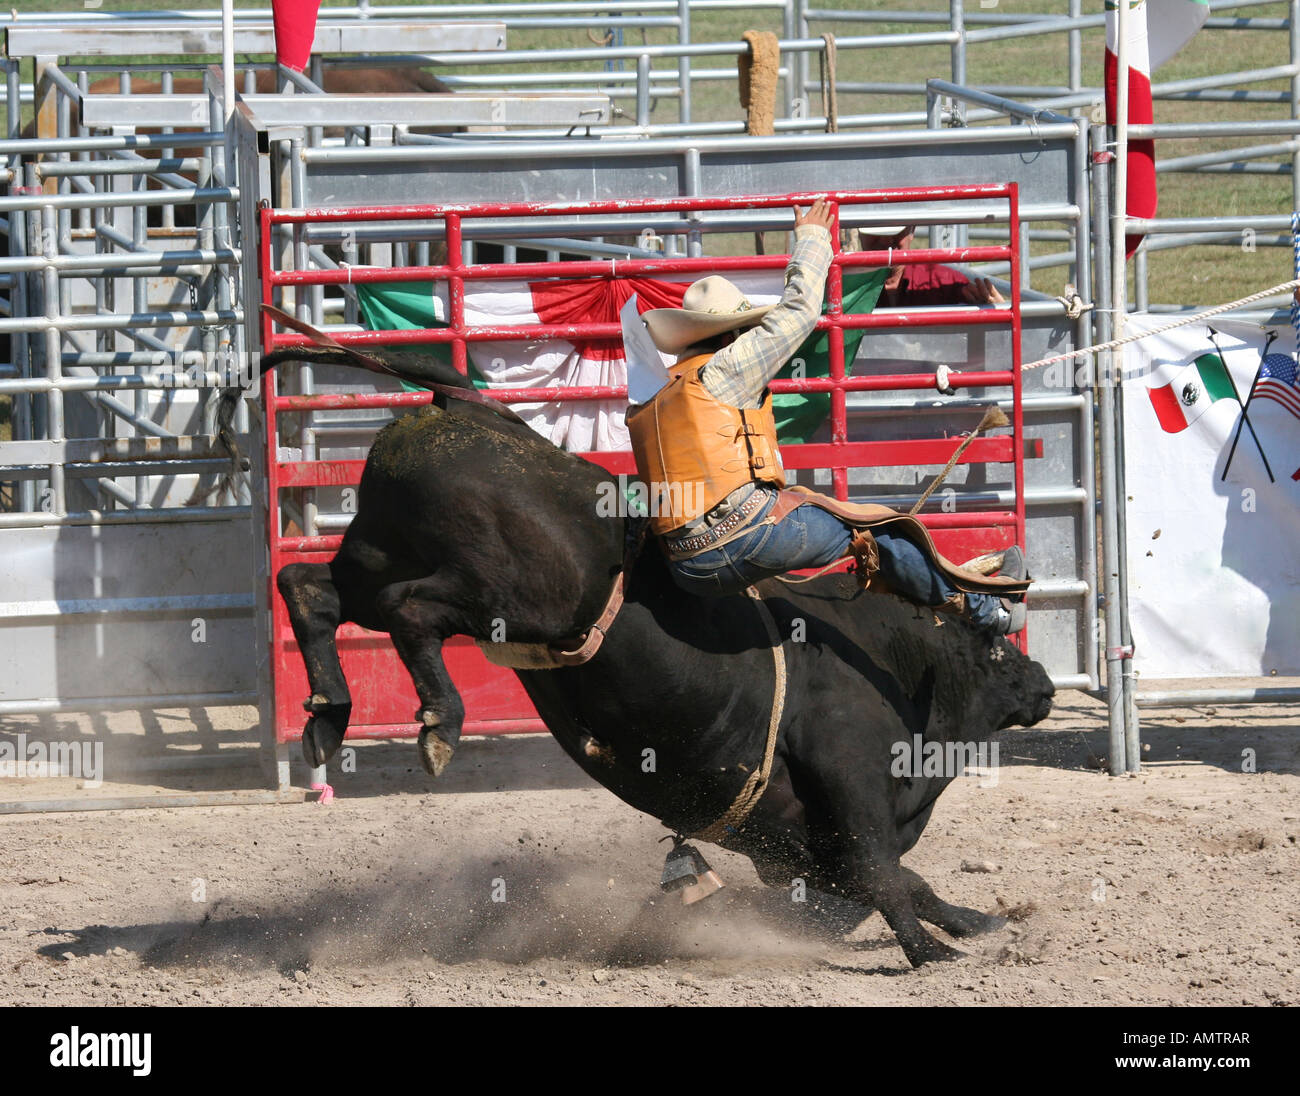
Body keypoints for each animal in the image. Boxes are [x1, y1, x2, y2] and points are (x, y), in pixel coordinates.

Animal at [215, 344, 1055, 969]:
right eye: (994, 646)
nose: (1044, 683)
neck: (897, 665)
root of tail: (470, 407)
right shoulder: (847, 777)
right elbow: (886, 870)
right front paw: (930, 953)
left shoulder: (794, 842)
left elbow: (905, 880)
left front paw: (976, 922)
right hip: (506, 595)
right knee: (408, 612)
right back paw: (438, 721)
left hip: (376, 550)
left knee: (311, 589)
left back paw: (328, 714)